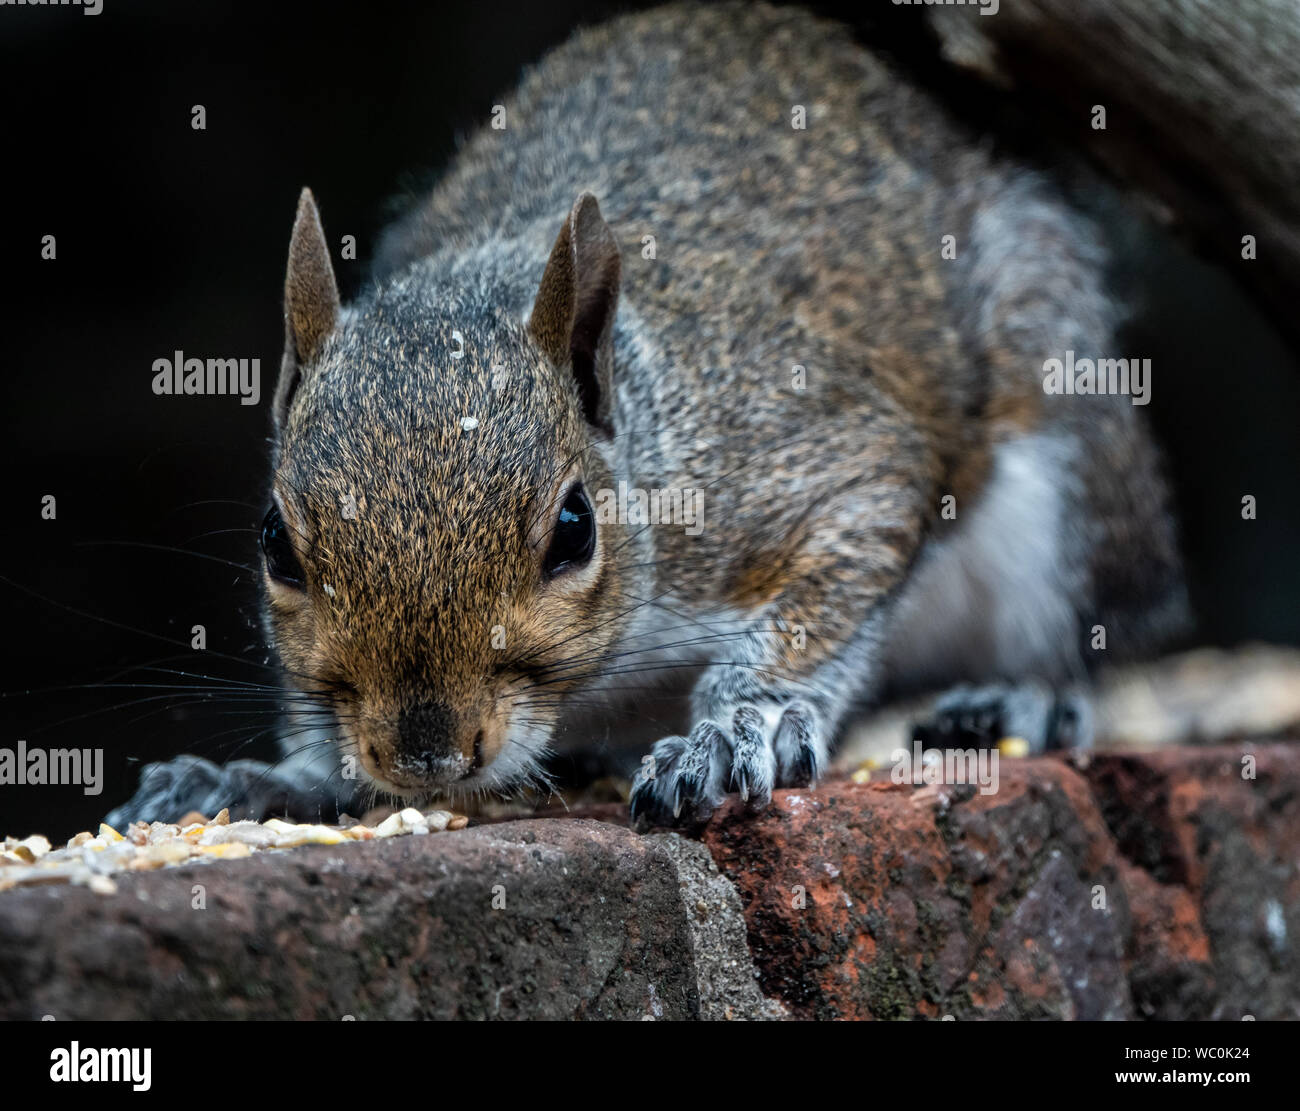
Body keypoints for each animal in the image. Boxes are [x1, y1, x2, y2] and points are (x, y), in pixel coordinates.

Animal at [106, 1, 1187, 830]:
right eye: (277, 546)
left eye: (573, 531)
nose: (423, 754)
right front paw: (274, 777)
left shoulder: (815, 465)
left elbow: (831, 581)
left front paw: (740, 727)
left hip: (1065, 462)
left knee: (1083, 633)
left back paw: (1022, 694)